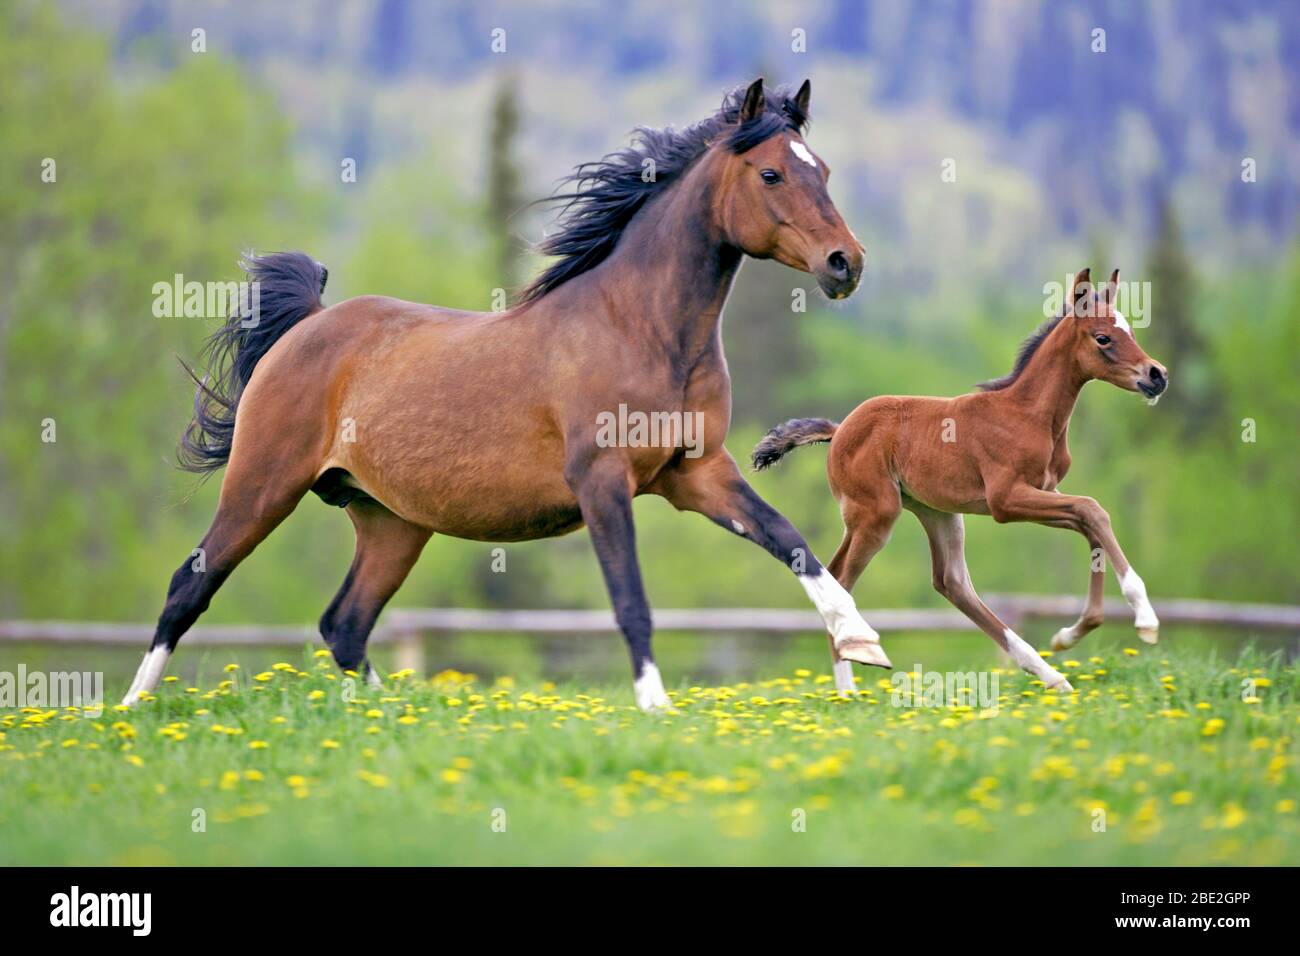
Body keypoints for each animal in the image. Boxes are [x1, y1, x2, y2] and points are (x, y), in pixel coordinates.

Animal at [123, 78, 893, 712]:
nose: (846, 264)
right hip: (263, 484)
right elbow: (631, 598)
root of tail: (308, 325)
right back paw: (129, 710)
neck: (641, 328)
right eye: (771, 172)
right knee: (189, 586)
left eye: (822, 170)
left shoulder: (695, 473)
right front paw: (655, 707)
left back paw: (397, 713)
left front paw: (862, 643)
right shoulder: (602, 481)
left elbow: (790, 540)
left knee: (345, 623)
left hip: (391, 521)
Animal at [751, 268, 1168, 694]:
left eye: (1130, 330)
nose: (1157, 375)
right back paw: (850, 683)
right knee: (841, 578)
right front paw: (1145, 619)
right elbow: (1093, 510)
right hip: (875, 514)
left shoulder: (1044, 492)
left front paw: (1070, 634)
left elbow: (1089, 523)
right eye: (1103, 337)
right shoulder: (1006, 500)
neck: (1028, 415)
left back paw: (1049, 674)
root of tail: (838, 431)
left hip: (938, 512)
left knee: (951, 582)